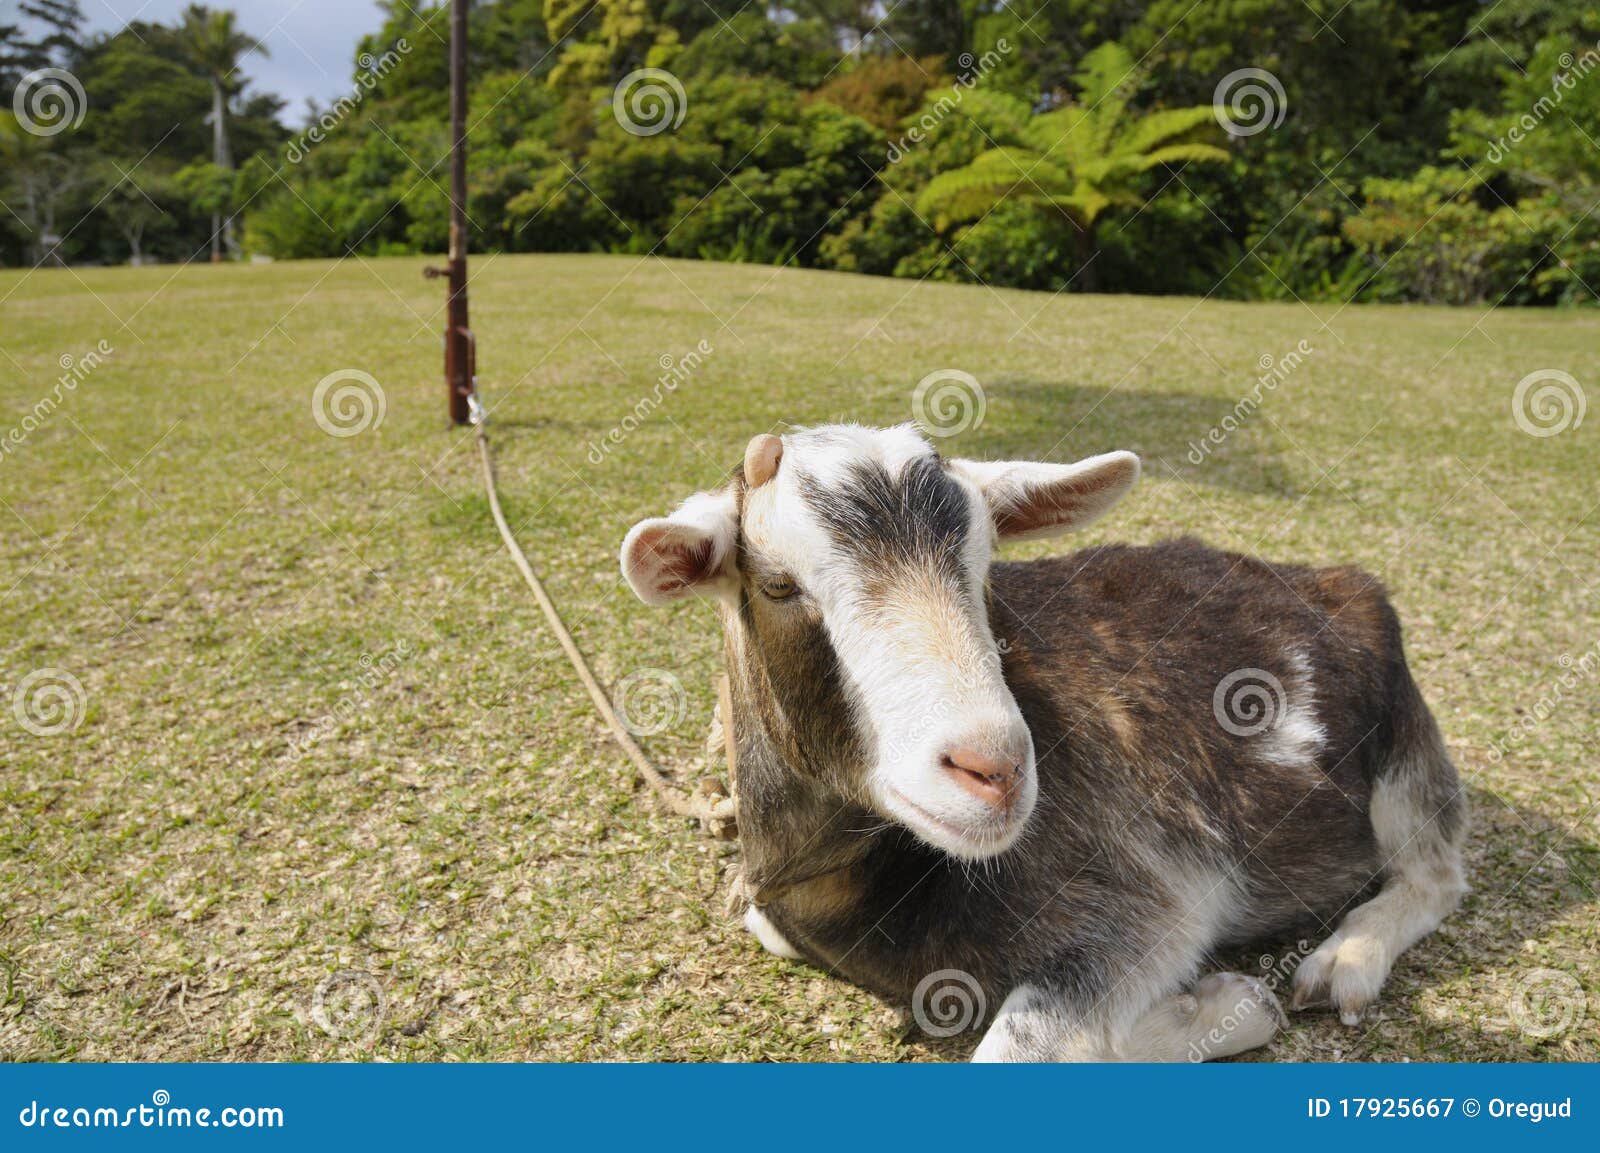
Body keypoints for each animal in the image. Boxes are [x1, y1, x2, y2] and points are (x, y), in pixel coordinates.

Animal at [620, 424, 1466, 1061]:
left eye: (984, 566)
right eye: (778, 585)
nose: (993, 767)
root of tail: (1336, 579)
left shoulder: (1150, 888)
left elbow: (1025, 1046)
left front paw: (1230, 1007)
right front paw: (1220, 1005)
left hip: (1405, 743)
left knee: (1436, 868)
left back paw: (1346, 960)